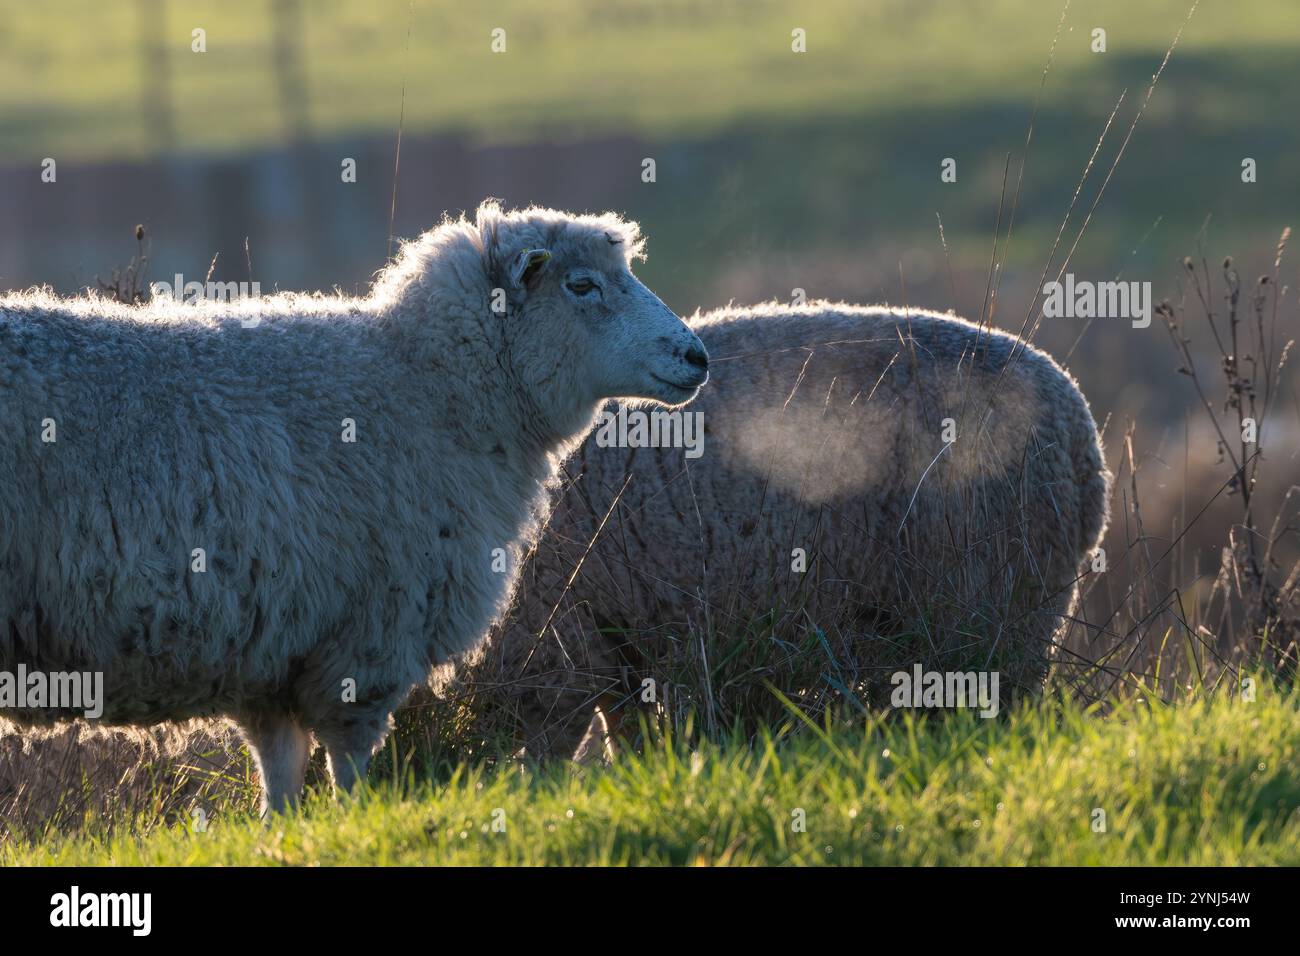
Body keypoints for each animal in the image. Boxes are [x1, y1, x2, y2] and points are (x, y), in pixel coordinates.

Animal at [0, 201, 709, 813]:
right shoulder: (368, 635)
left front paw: (282, 833)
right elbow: (348, 765)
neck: (430, 386)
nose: (696, 356)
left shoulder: (271, 651)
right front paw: (355, 823)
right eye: (582, 285)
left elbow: (280, 773)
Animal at [455, 301, 1110, 760]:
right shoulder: (614, 633)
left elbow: (555, 738)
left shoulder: (558, 638)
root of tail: (1085, 443)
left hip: (992, 602)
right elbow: (626, 731)